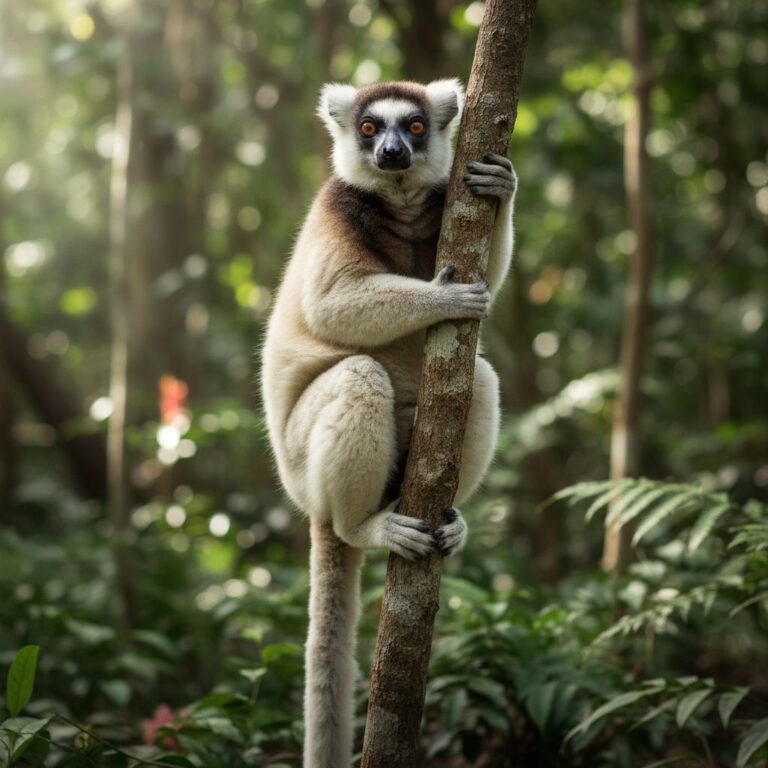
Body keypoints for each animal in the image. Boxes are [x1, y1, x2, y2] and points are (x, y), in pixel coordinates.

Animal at [260, 79, 516, 768]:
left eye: (417, 127)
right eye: (371, 128)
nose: (393, 152)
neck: (398, 201)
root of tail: (313, 506)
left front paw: (503, 185)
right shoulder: (337, 210)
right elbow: (331, 305)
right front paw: (445, 298)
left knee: (479, 377)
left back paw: (450, 521)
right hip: (300, 458)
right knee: (359, 375)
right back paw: (365, 526)